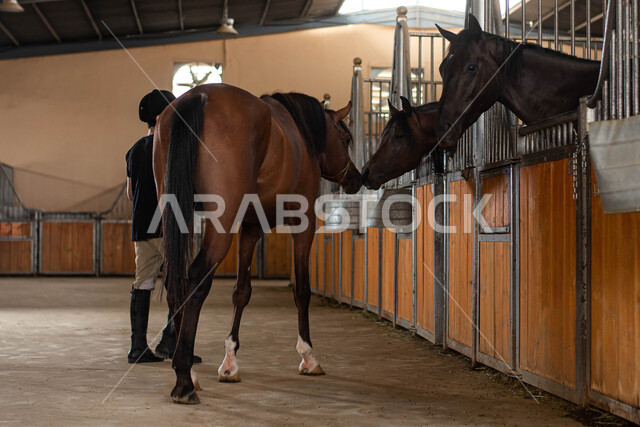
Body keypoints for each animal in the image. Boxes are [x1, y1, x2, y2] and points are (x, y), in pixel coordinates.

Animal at [152, 83, 361, 404]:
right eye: (346, 138)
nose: (356, 178)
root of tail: (198, 97)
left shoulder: (251, 227)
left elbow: (241, 292)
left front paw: (229, 364)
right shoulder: (303, 223)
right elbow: (302, 290)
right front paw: (308, 356)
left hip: (175, 213)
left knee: (175, 281)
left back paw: (191, 374)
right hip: (220, 225)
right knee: (196, 278)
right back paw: (184, 381)